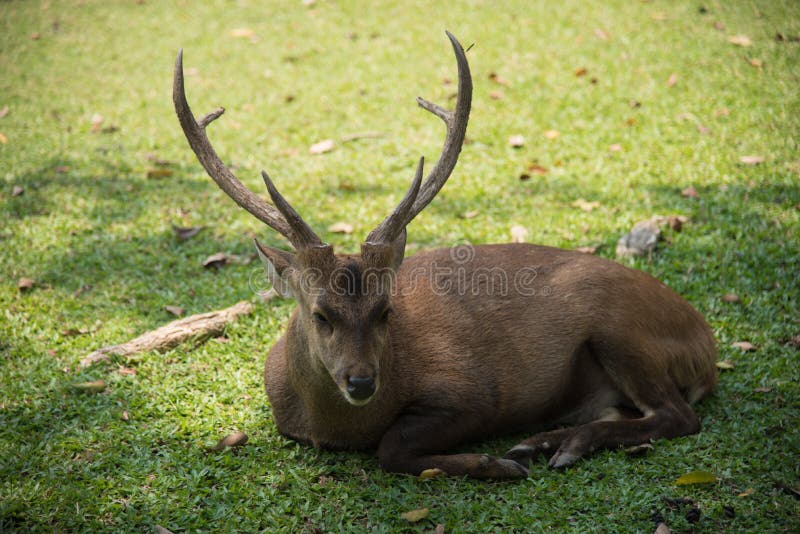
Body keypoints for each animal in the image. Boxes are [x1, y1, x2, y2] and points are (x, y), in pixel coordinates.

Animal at [173, 32, 717, 479]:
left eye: (386, 310)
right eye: (320, 314)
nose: (362, 381)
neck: (330, 425)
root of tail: (707, 345)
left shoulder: (474, 392)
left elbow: (392, 448)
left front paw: (494, 464)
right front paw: (502, 460)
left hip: (622, 330)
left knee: (679, 416)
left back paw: (552, 446)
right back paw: (547, 442)